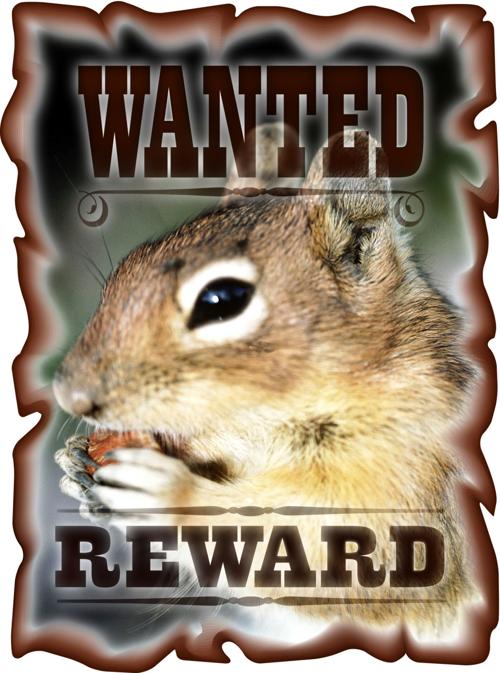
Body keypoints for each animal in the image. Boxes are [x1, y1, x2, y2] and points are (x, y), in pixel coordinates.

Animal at [54, 125, 477, 641]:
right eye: (124, 269)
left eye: (222, 299)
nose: (69, 395)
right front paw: (76, 463)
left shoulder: (413, 472)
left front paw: (168, 494)